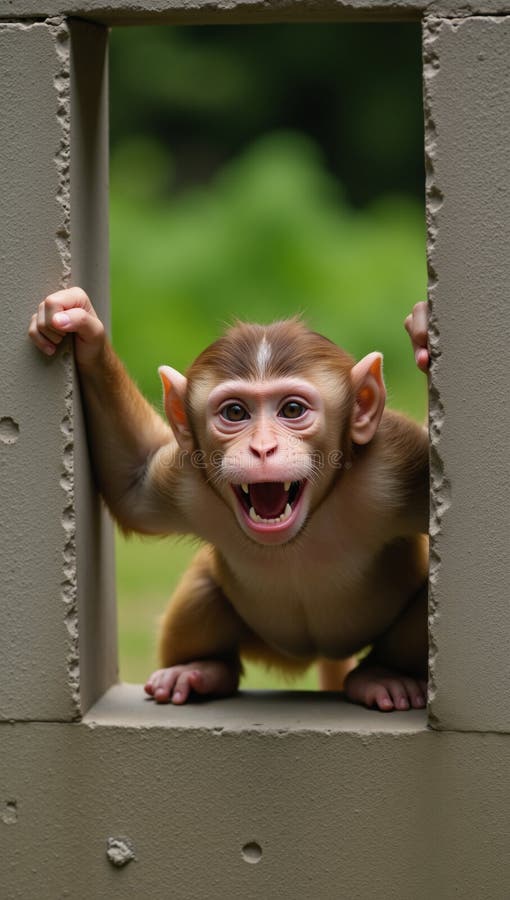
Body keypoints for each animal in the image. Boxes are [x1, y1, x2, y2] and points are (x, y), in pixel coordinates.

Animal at [29, 287, 429, 712]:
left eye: (292, 409)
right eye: (235, 412)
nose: (262, 448)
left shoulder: (393, 465)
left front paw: (423, 337)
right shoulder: (187, 478)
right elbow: (133, 486)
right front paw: (81, 328)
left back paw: (384, 674)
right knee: (204, 587)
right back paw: (201, 670)